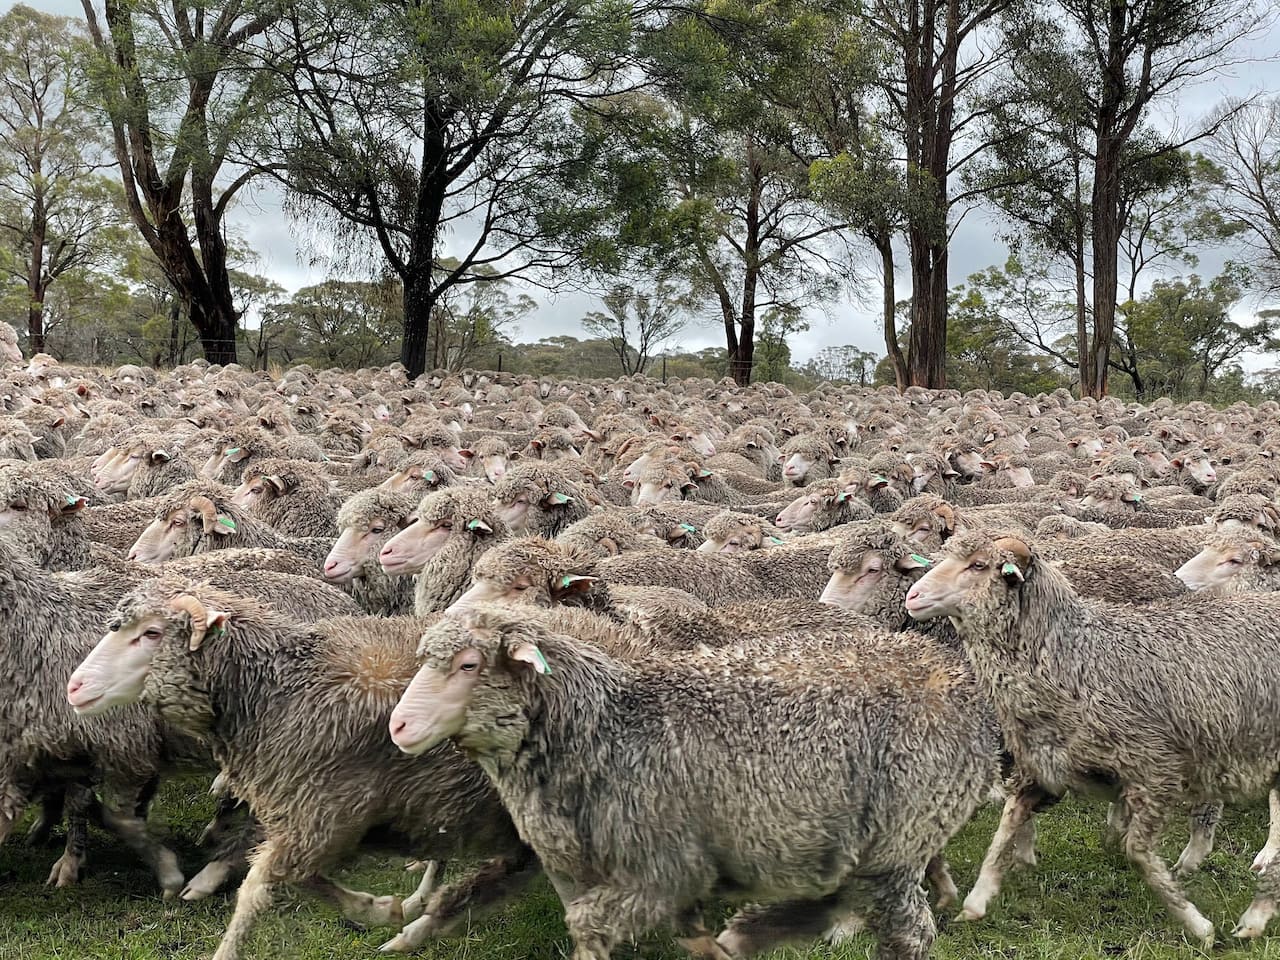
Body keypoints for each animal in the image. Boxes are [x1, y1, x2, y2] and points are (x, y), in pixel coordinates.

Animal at [67, 579, 534, 960]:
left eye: (152, 632)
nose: (74, 686)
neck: (280, 689)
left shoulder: (324, 810)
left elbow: (258, 886)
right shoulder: (311, 813)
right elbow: (297, 877)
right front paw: (377, 908)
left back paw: (418, 926)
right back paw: (419, 906)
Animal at [390, 603, 1000, 960]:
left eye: (469, 665)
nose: (398, 726)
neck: (606, 726)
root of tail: (954, 673)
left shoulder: (660, 868)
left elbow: (588, 927)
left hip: (900, 829)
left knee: (904, 929)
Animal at [904, 532, 1280, 944]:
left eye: (978, 565)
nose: (913, 596)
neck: (1076, 656)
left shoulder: (1154, 769)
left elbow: (1138, 852)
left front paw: (1197, 923)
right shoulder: (1047, 766)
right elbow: (1007, 823)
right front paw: (978, 898)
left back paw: (1255, 913)